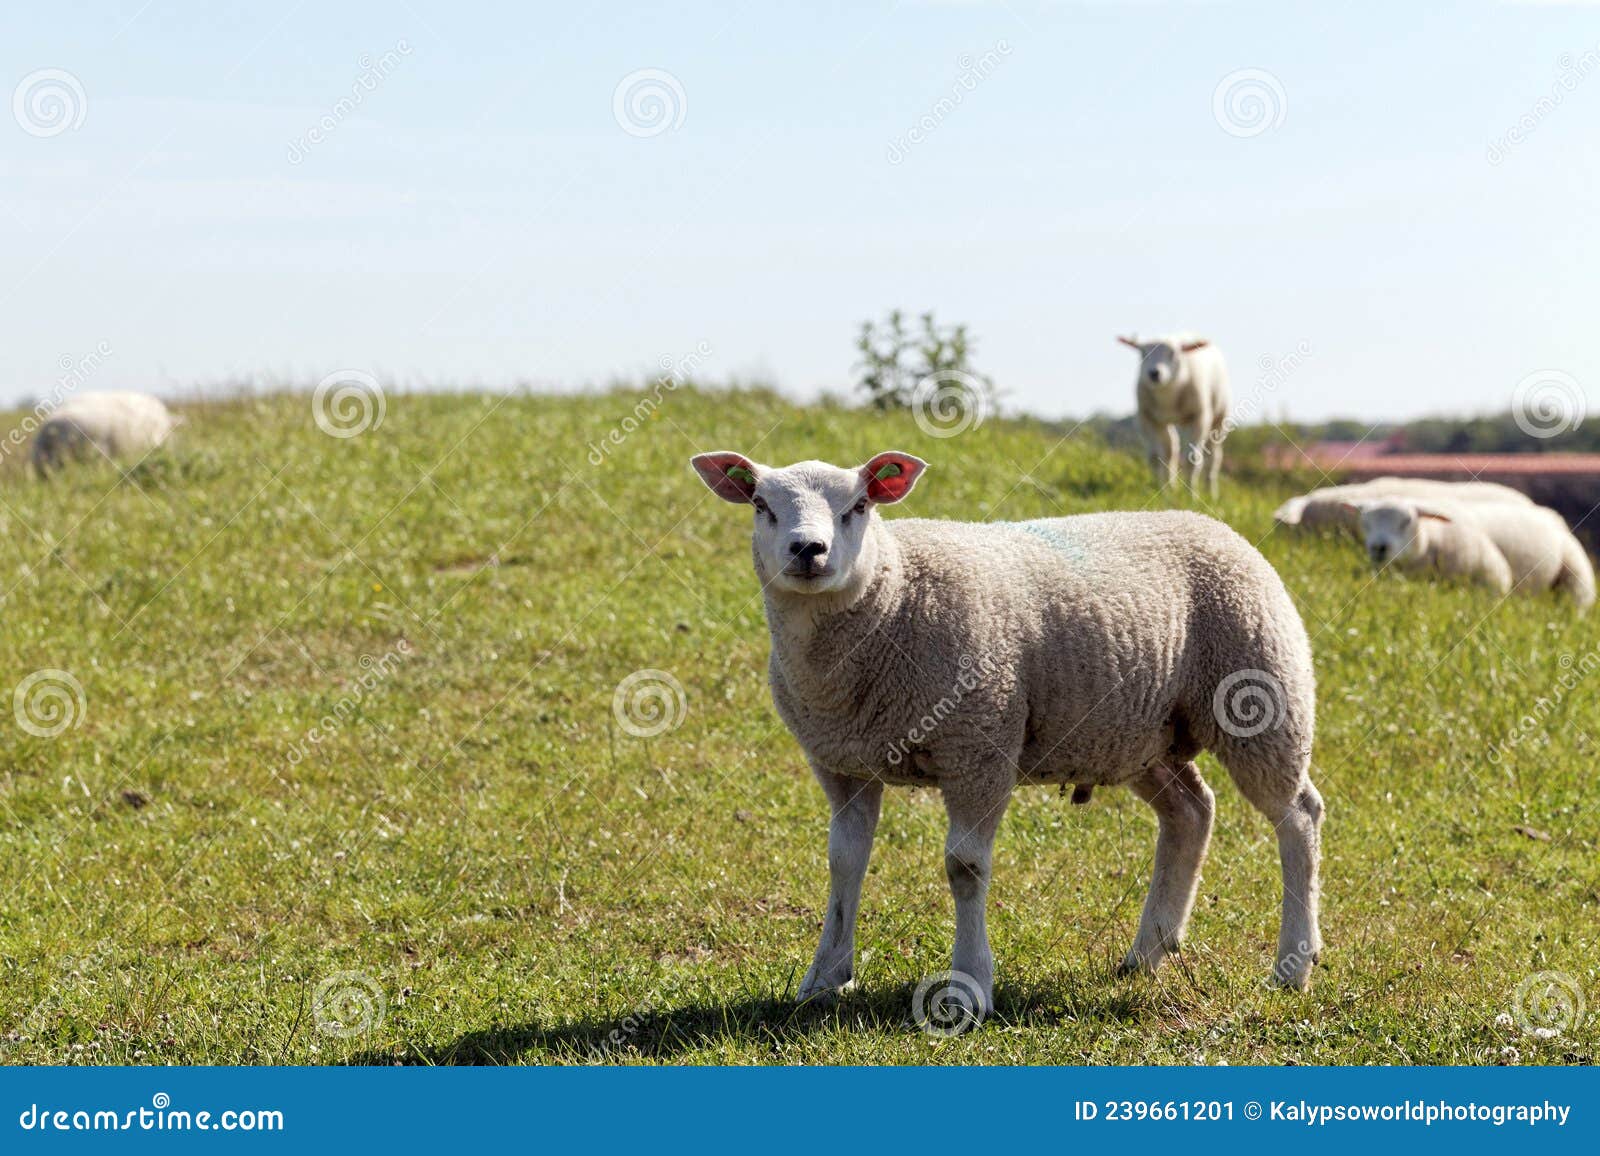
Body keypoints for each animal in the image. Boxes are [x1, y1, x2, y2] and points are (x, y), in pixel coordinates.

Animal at [691, 448, 1325, 1023]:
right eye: (761, 505)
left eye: (860, 506)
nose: (808, 550)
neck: (893, 598)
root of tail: (1214, 525)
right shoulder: (842, 763)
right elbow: (844, 862)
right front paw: (824, 978)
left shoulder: (979, 749)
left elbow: (964, 867)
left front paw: (970, 987)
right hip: (1142, 735)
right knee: (1192, 812)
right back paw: (1147, 952)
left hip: (1262, 697)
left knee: (1298, 817)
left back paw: (1292, 965)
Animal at [1119, 333, 1230, 497]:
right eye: (1142, 353)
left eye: (1173, 354)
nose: (1154, 373)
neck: (1167, 396)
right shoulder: (1145, 418)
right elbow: (1155, 457)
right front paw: (1160, 492)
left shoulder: (1198, 417)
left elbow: (1193, 459)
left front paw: (1192, 496)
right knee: (1171, 450)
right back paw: (1172, 488)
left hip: (1219, 417)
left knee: (1213, 457)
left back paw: (1211, 493)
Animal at [1353, 497, 1595, 610]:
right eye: (1365, 523)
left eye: (1407, 521)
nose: (1379, 547)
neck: (1434, 534)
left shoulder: (1493, 574)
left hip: (1575, 577)